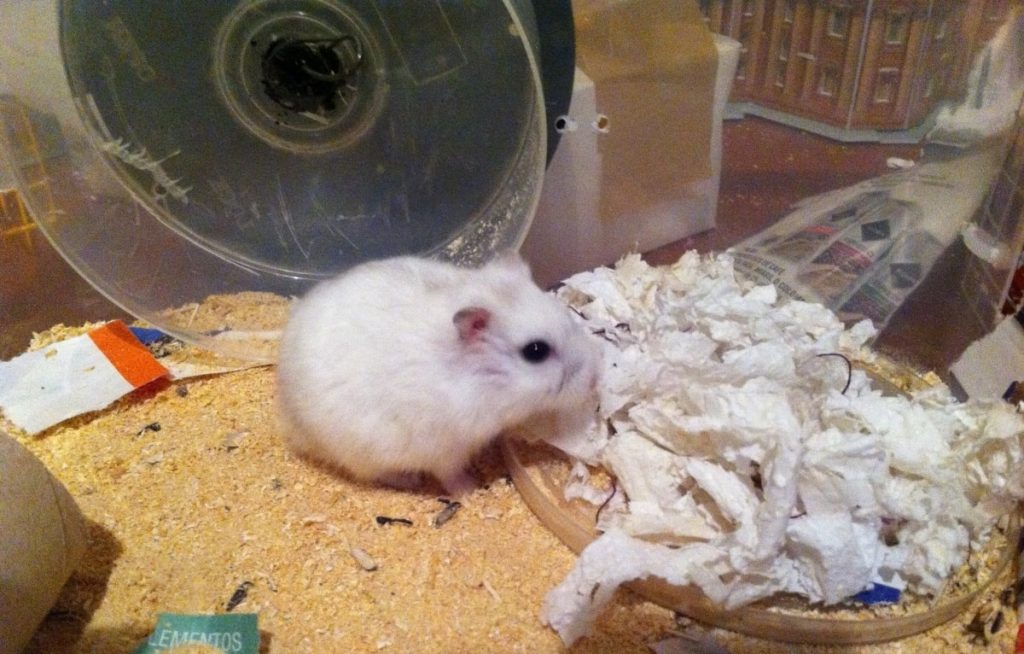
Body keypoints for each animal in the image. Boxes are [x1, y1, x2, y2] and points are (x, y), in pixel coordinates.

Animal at [275, 253, 602, 496]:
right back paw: (411, 481)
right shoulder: (446, 449)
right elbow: (451, 475)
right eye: (535, 351)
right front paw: (472, 489)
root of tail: (288, 420)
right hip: (362, 453)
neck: (482, 381)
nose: (595, 380)